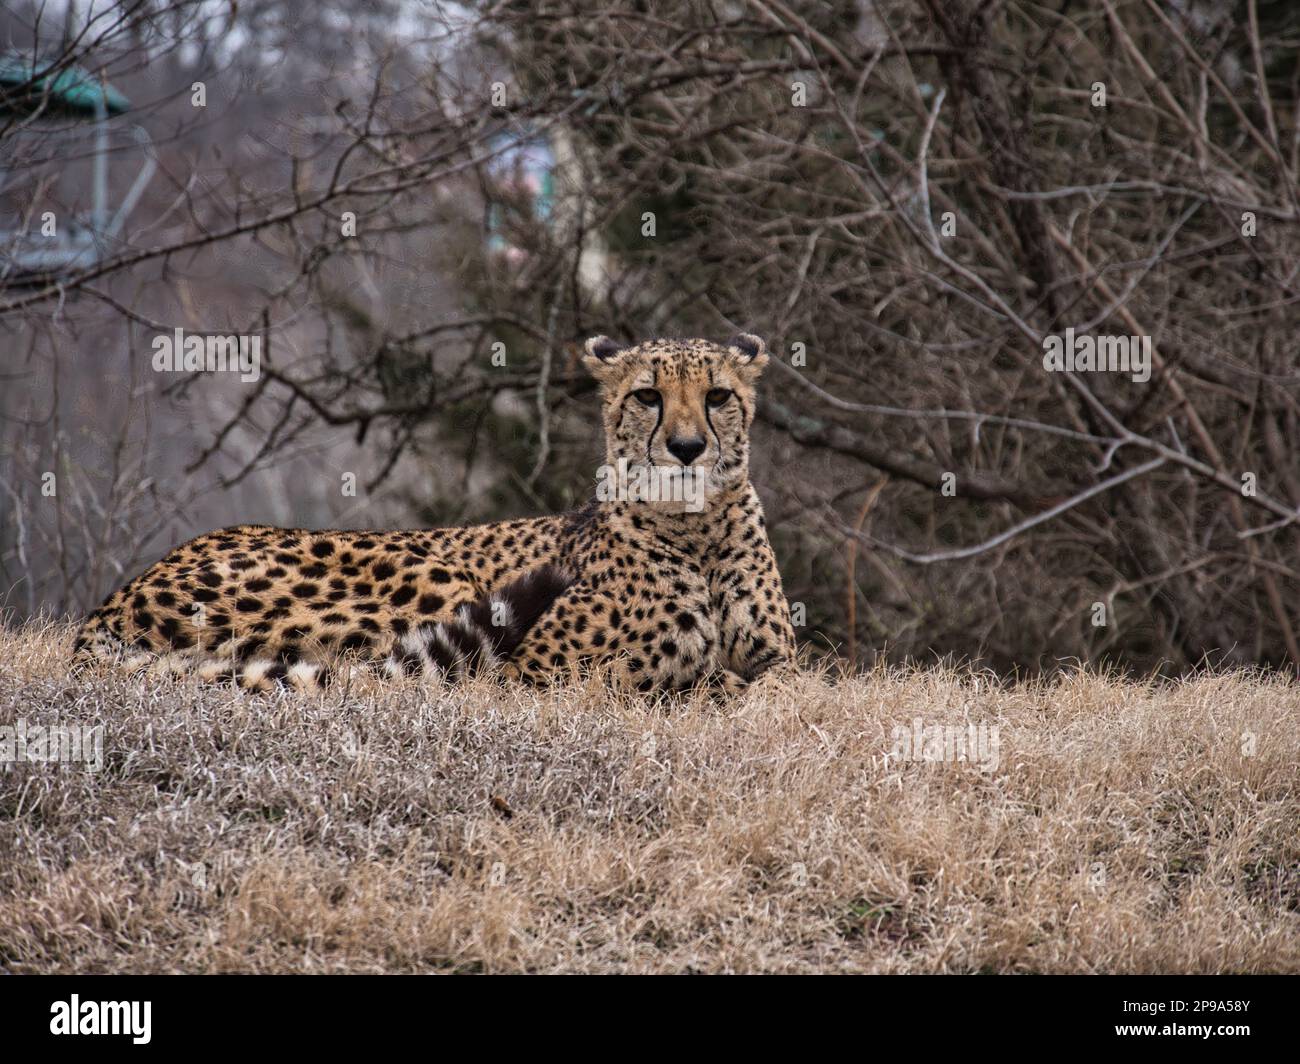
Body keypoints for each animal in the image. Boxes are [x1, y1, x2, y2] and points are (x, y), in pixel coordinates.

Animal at [72, 333, 798, 692]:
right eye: (648, 396)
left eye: (718, 396)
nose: (687, 449)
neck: (696, 529)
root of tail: (109, 608)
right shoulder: (533, 674)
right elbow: (698, 683)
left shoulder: (778, 657)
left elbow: (780, 685)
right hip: (436, 577)